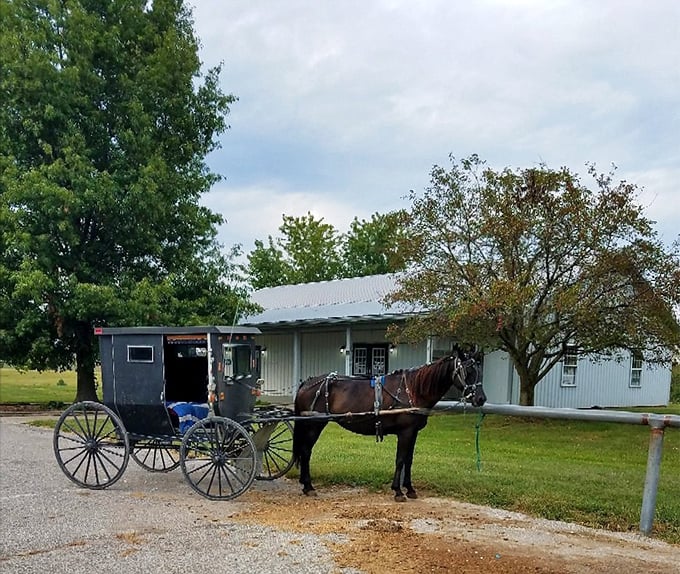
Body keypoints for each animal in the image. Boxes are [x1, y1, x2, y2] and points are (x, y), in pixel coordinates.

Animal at [292, 348, 487, 502]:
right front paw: (398, 491)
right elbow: (400, 460)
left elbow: (409, 460)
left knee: (304, 451)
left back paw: (305, 484)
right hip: (314, 424)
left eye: (480, 370)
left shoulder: (413, 433)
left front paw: (410, 489)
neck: (413, 390)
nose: (481, 399)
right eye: (467, 371)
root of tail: (307, 383)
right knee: (306, 452)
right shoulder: (405, 432)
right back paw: (309, 486)